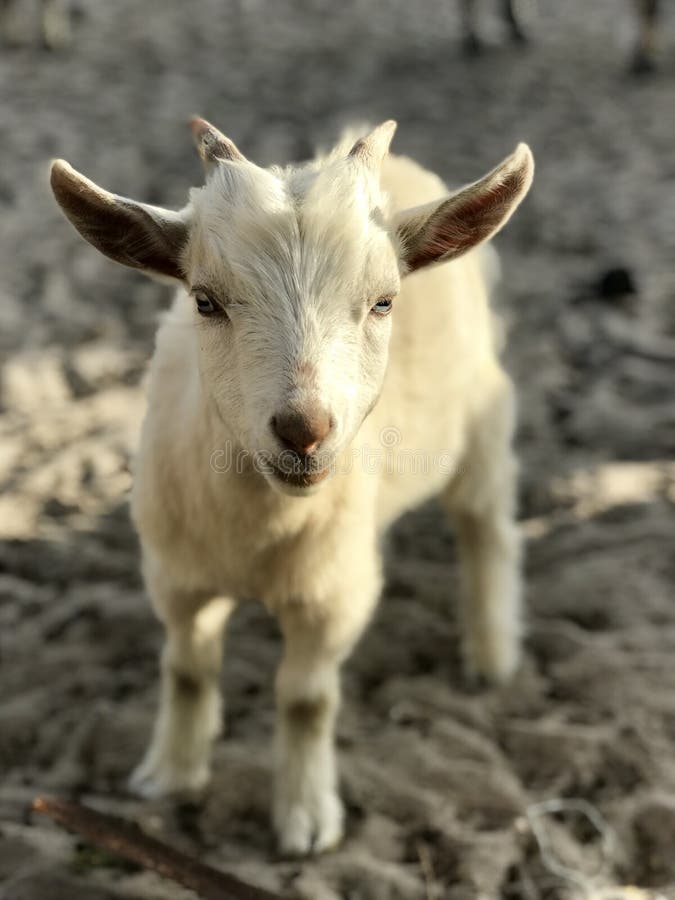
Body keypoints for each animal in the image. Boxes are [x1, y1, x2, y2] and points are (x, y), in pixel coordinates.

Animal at [50, 119, 534, 855]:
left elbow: (305, 700)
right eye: (205, 300)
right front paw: (169, 775)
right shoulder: (174, 576)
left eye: (383, 301)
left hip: (481, 412)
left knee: (485, 523)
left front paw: (305, 820)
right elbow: (186, 668)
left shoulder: (333, 597)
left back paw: (491, 652)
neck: (257, 530)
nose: (303, 430)